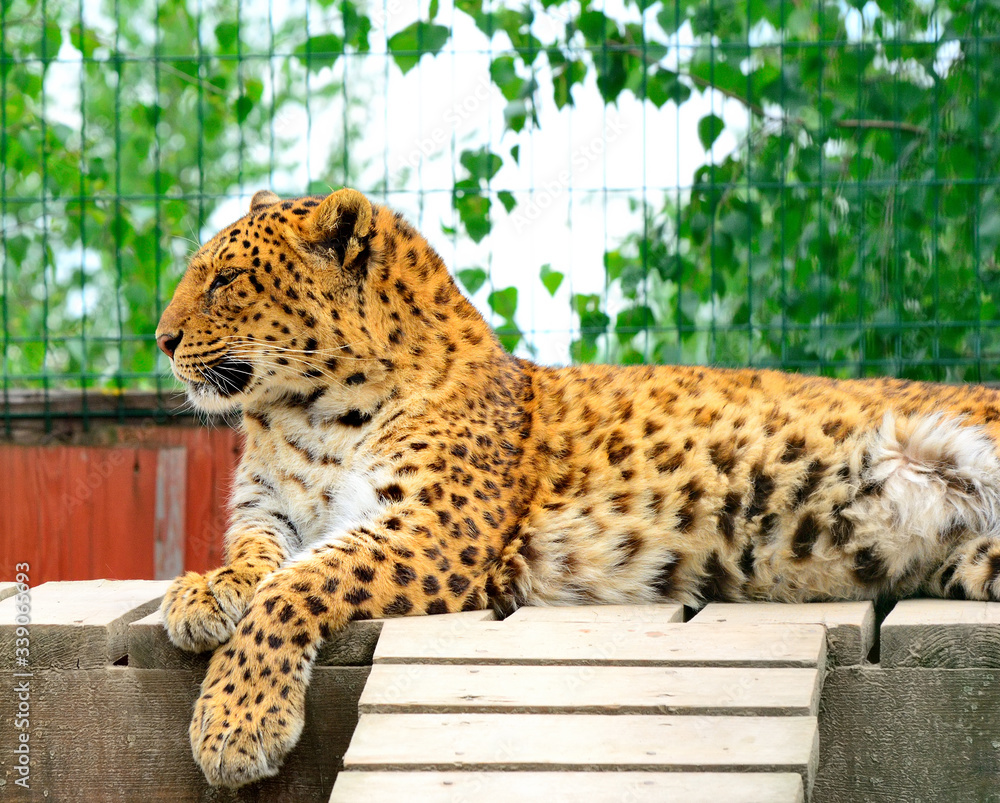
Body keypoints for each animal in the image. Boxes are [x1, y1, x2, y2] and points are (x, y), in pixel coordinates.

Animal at [157, 186, 1000, 788]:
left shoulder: (436, 532)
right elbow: (256, 555)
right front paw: (201, 595)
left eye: (225, 279)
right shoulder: (272, 507)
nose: (162, 340)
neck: (304, 415)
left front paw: (235, 723)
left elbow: (295, 586)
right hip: (966, 562)